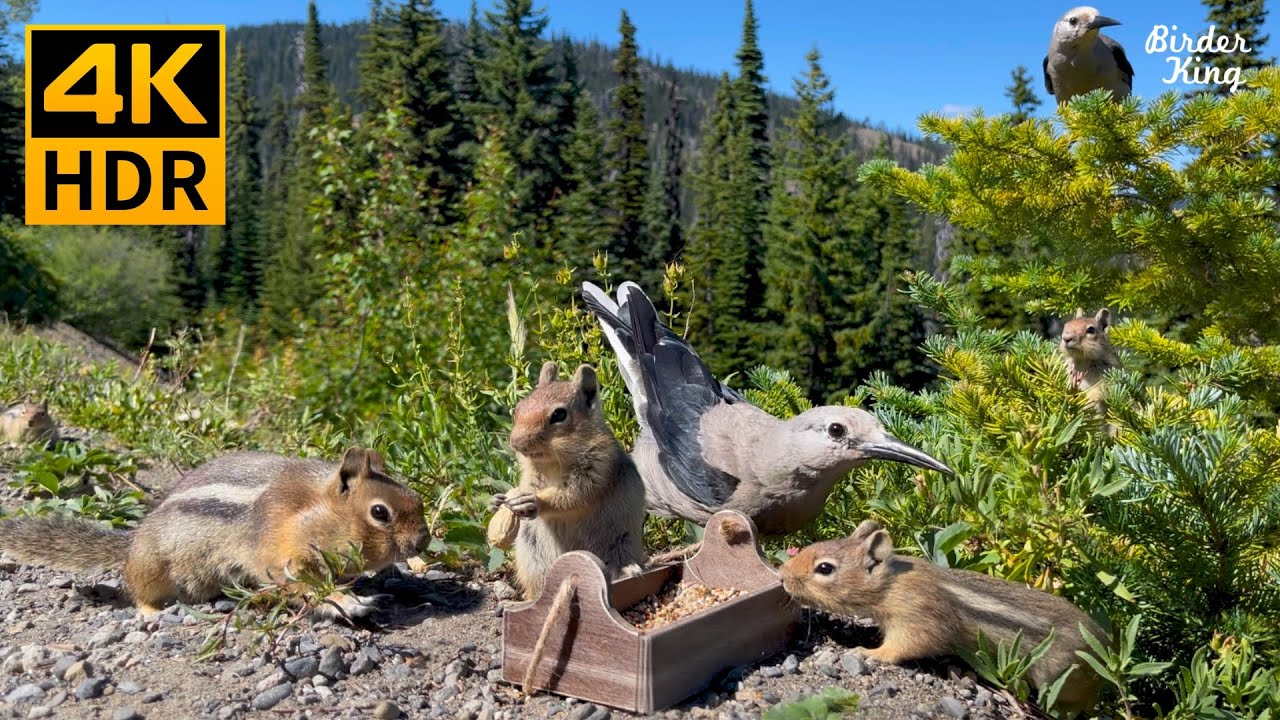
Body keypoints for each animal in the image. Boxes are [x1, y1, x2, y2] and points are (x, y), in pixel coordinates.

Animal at [0, 447, 427, 620]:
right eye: (379, 512)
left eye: (416, 498)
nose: (422, 541)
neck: (315, 511)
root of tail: (131, 544)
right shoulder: (284, 555)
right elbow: (304, 586)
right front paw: (349, 602)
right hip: (150, 567)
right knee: (137, 590)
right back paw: (152, 612)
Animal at [491, 361, 647, 599]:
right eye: (518, 408)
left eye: (559, 414)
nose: (516, 443)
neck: (552, 462)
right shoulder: (531, 476)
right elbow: (525, 486)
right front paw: (499, 500)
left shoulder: (596, 469)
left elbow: (573, 496)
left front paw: (534, 501)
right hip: (532, 559)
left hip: (622, 542)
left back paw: (629, 569)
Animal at [781, 520, 1105, 716]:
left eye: (824, 568)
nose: (783, 577)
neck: (892, 584)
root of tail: (1106, 643)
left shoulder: (917, 619)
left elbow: (901, 648)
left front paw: (868, 651)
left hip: (1063, 683)